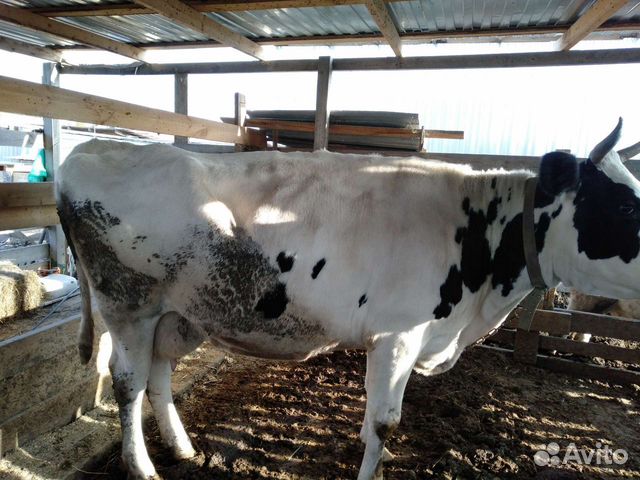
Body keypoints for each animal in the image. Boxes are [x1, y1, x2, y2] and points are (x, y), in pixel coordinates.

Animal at [56, 120, 640, 480]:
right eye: (626, 207)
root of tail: (89, 151)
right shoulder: (399, 334)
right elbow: (386, 420)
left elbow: (374, 419)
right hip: (129, 305)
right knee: (128, 383)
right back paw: (142, 466)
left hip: (178, 313)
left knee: (158, 376)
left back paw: (181, 448)